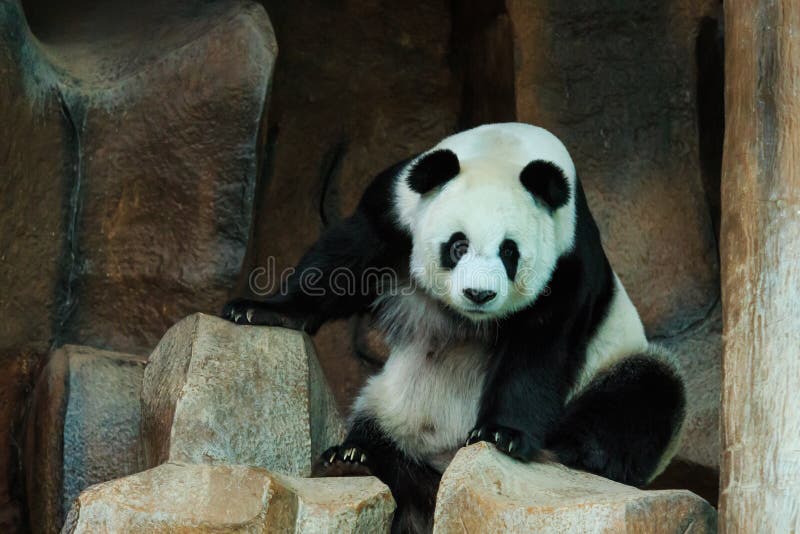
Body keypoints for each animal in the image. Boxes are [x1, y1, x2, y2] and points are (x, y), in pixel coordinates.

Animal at [223, 123, 686, 533]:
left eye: (509, 251)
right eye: (458, 245)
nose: (479, 294)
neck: (507, 148)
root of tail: (442, 467)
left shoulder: (570, 260)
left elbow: (540, 350)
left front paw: (501, 434)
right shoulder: (396, 206)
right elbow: (344, 258)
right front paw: (261, 310)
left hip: (618, 363)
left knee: (645, 394)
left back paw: (575, 450)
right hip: (391, 407)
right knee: (377, 433)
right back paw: (354, 458)